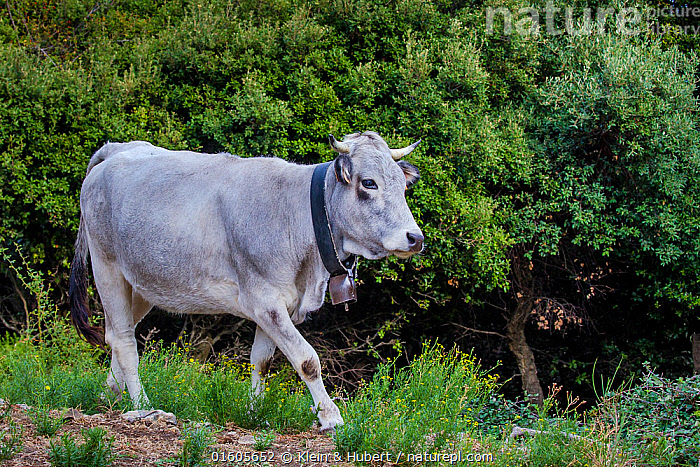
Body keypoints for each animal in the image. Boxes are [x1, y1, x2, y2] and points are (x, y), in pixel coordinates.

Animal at [69, 131, 424, 432]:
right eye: (369, 183)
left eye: (402, 186)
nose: (415, 238)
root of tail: (118, 148)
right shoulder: (264, 300)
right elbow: (306, 358)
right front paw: (329, 415)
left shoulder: (281, 304)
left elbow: (262, 360)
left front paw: (255, 412)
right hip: (107, 266)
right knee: (124, 341)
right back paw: (143, 404)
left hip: (141, 285)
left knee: (116, 334)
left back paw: (110, 396)